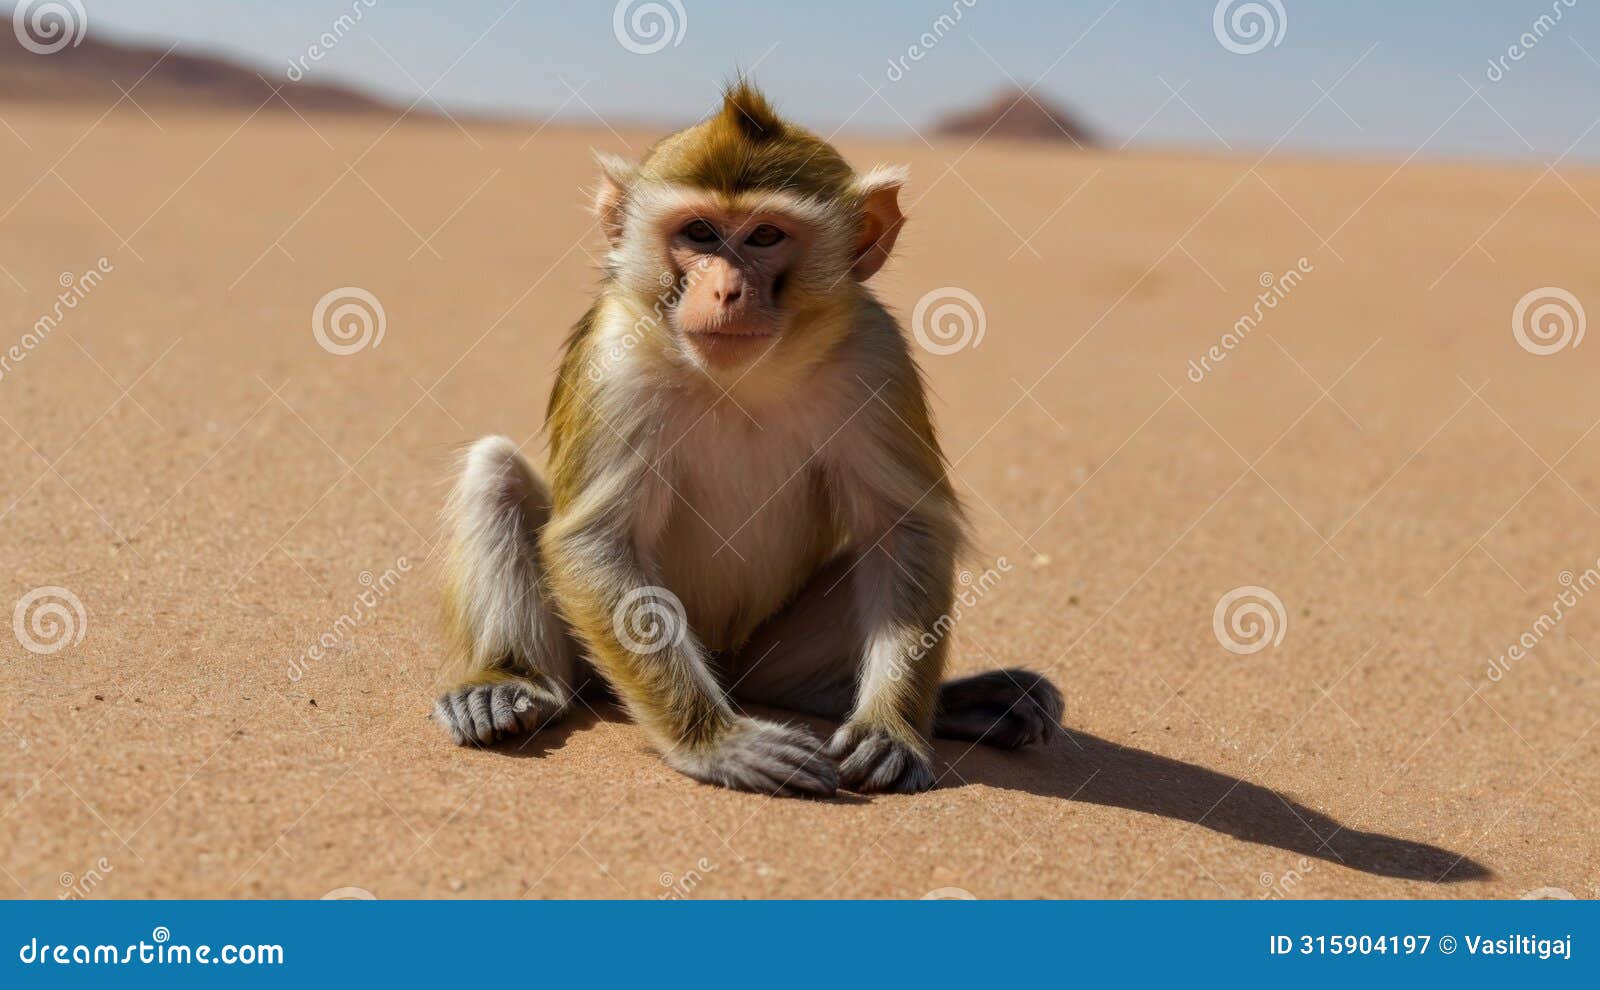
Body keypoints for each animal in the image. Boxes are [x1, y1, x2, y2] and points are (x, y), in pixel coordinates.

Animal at [431, 81, 1063, 796]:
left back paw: (960, 702)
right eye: (700, 232)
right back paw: (509, 684)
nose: (727, 290)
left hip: (763, 652)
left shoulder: (875, 353)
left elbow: (903, 528)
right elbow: (597, 540)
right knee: (497, 472)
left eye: (764, 235)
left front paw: (890, 729)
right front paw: (717, 743)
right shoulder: (616, 361)